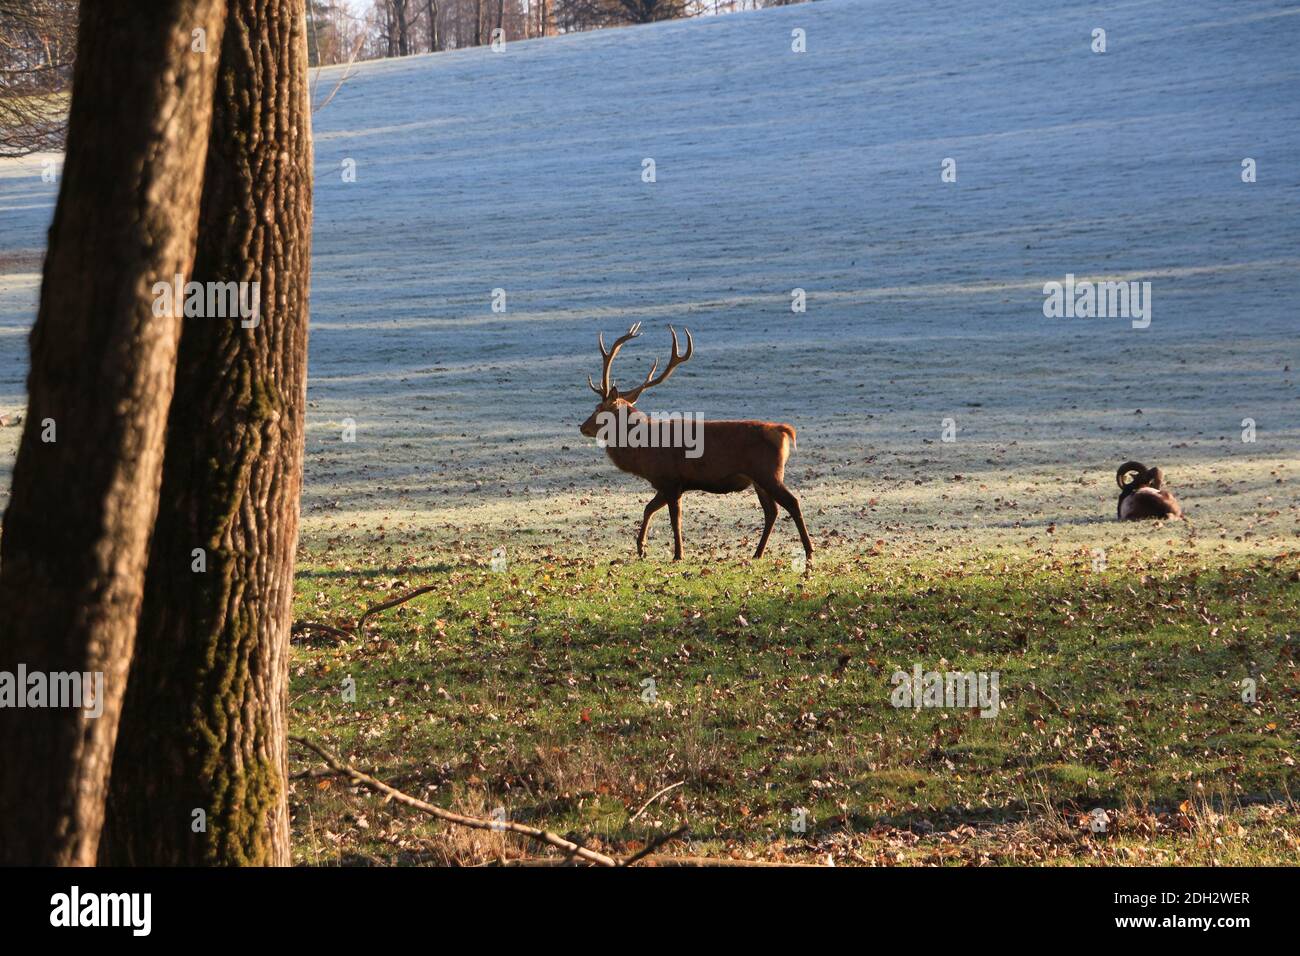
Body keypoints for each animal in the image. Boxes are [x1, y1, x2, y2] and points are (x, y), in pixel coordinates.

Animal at [579, 323, 813, 562]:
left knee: (792, 503)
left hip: (768, 472)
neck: (644, 452)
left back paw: (809, 551)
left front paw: (677, 554)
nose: (582, 427)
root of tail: (783, 431)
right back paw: (757, 553)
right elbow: (648, 509)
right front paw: (641, 548)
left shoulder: (670, 479)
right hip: (759, 479)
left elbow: (674, 519)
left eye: (599, 409)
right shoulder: (669, 483)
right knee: (772, 511)